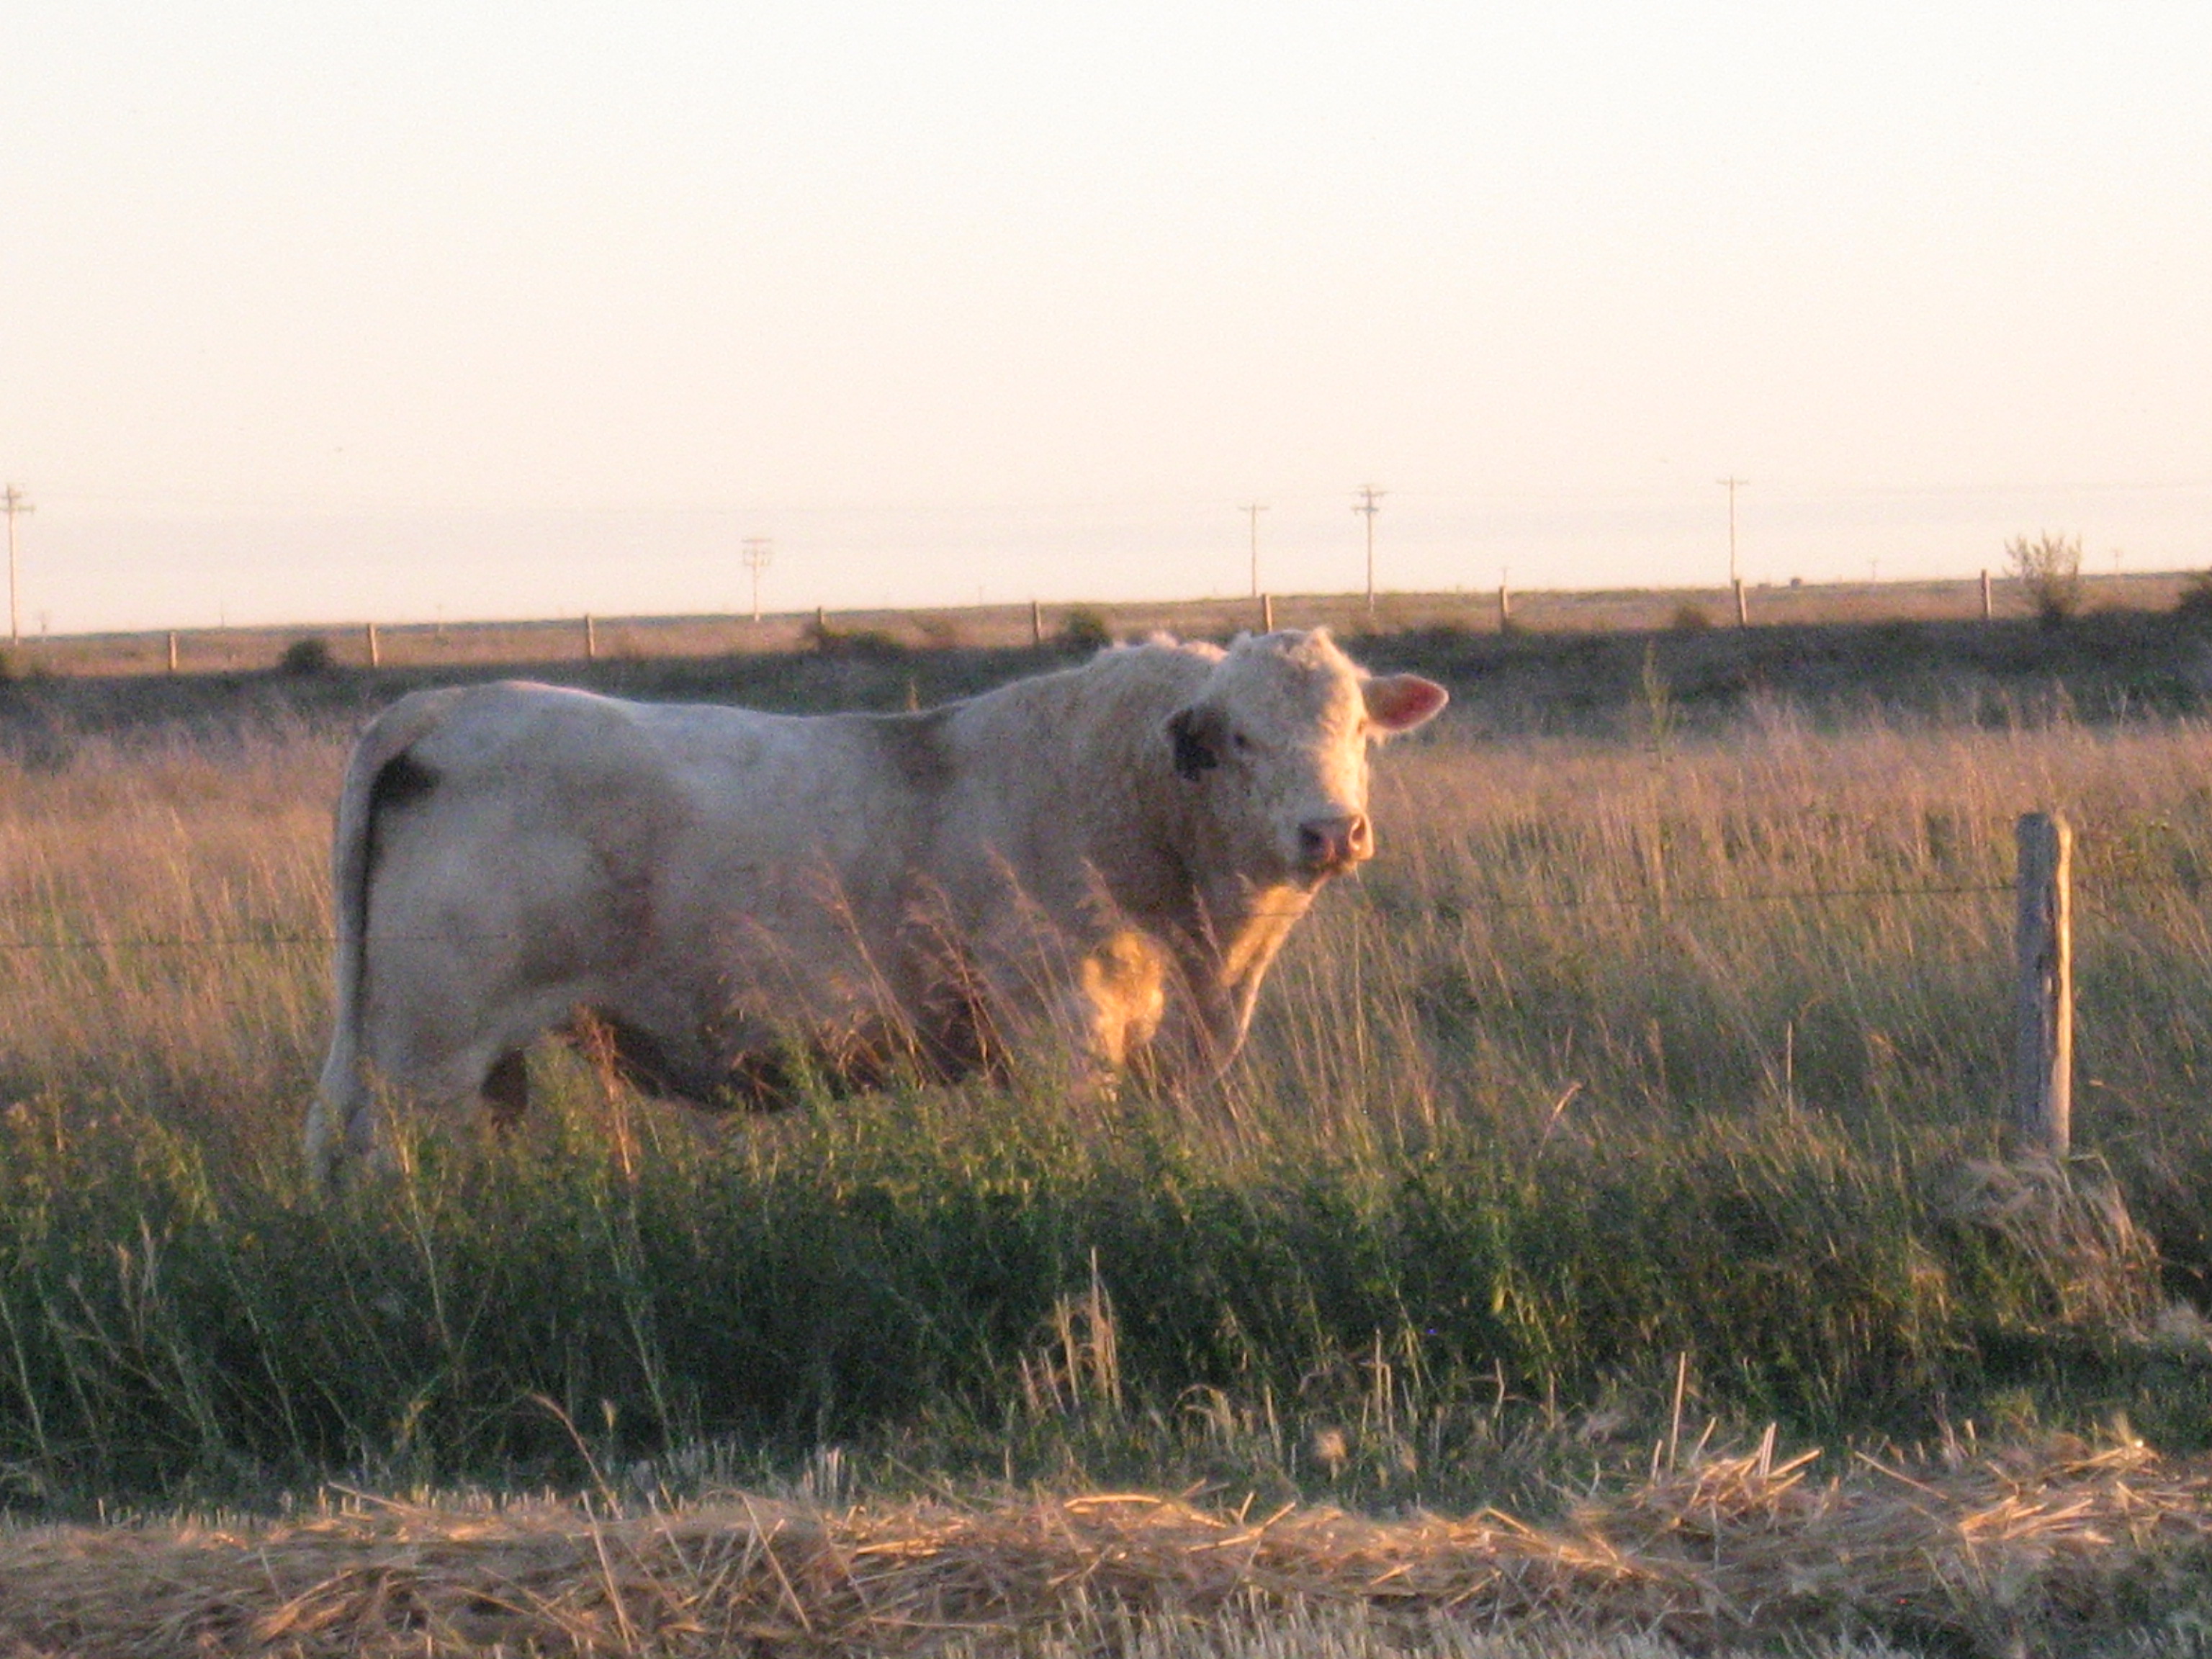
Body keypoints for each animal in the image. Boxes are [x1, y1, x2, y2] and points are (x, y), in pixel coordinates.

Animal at [305, 629, 1445, 1187]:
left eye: (1358, 728)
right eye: (1240, 737)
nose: (1332, 832)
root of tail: (450, 702)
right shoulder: (1060, 1031)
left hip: (480, 1061)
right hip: (425, 1050)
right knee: (389, 1163)